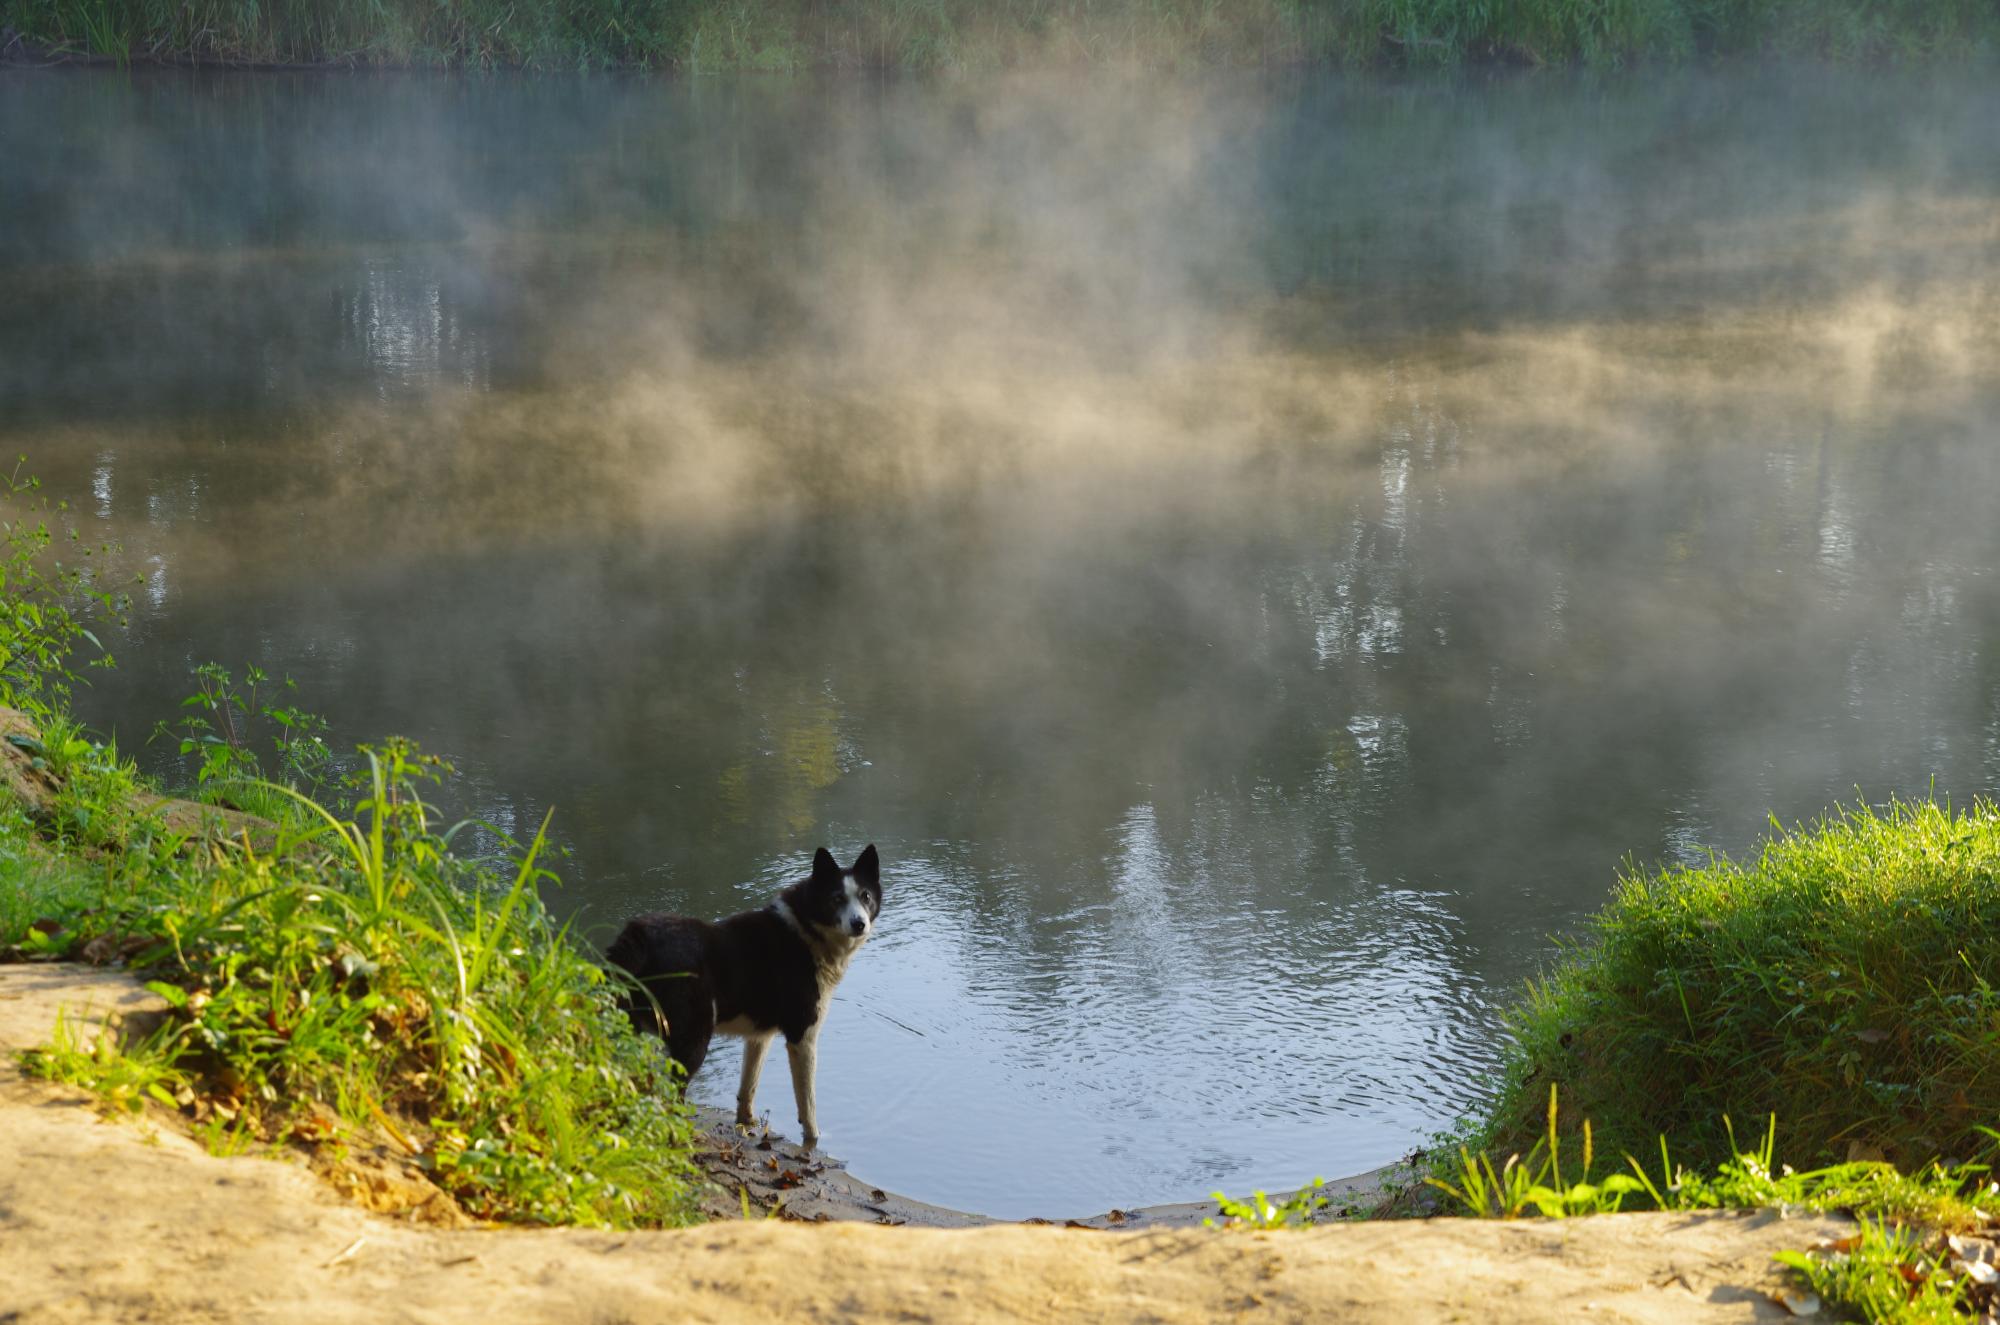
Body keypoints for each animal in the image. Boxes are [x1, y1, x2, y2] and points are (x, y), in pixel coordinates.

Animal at [604, 852, 880, 1152]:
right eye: (837, 898)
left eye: (865, 896)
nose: (859, 923)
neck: (806, 930)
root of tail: (638, 934)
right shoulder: (802, 1036)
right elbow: (807, 1103)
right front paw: (813, 1140)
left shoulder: (759, 1035)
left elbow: (748, 1086)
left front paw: (746, 1124)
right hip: (693, 1039)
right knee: (672, 1096)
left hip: (630, 1027)